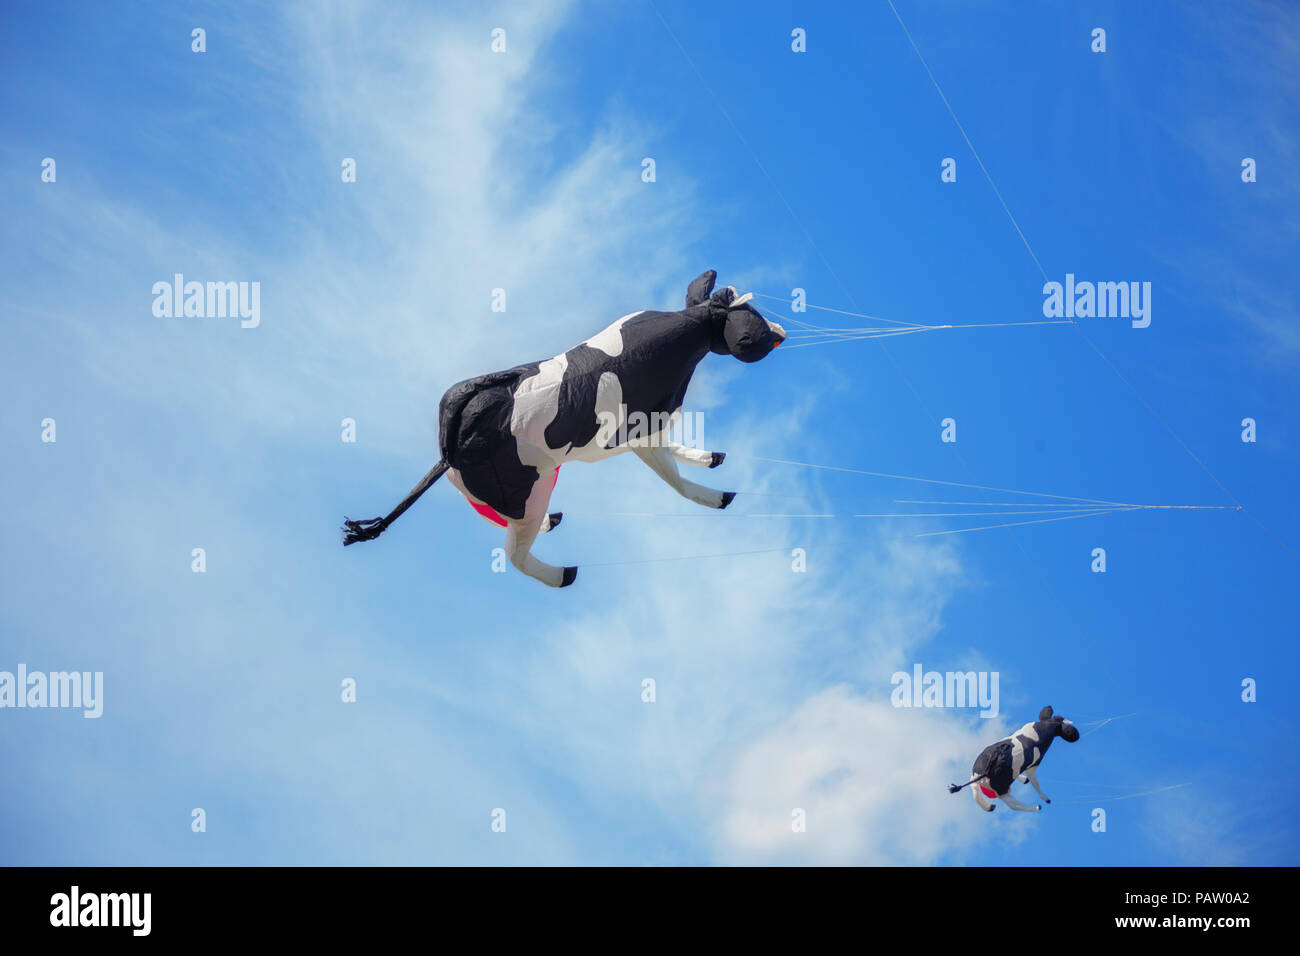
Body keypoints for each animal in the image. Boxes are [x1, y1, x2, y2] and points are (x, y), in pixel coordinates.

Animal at [342, 270, 786, 586]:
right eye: (748, 321)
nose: (780, 335)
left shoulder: (652, 425)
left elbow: (673, 452)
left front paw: (708, 456)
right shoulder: (634, 430)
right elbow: (673, 479)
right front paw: (717, 495)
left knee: (504, 524)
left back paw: (548, 525)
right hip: (525, 487)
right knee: (513, 552)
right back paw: (561, 574)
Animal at [949, 706, 1081, 811]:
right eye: (1067, 728)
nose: (1077, 733)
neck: (1048, 726)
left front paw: (1024, 779)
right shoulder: (1035, 764)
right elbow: (1034, 781)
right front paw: (1045, 798)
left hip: (977, 770)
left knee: (975, 790)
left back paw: (989, 806)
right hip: (1001, 785)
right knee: (1012, 804)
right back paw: (1036, 807)